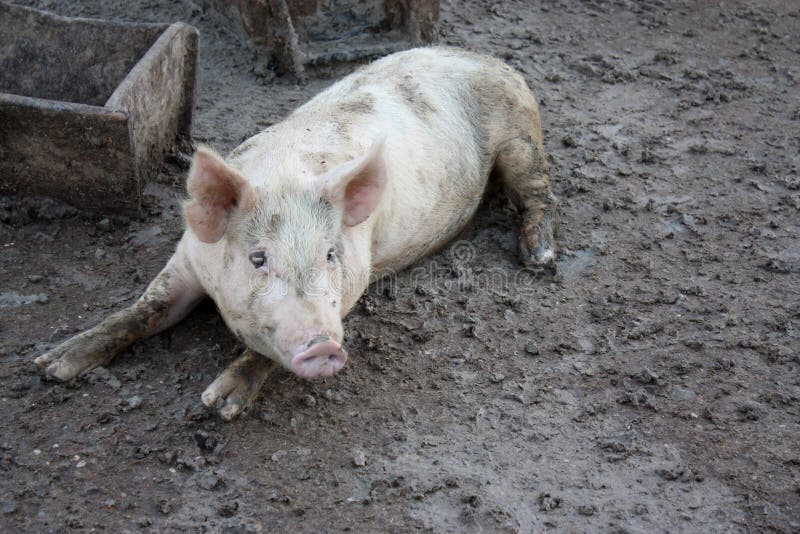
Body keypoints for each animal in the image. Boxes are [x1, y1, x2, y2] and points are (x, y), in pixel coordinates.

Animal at [34, 47, 558, 420]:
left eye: (330, 254)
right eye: (258, 258)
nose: (323, 345)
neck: (284, 178)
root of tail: (488, 58)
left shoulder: (355, 280)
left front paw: (219, 404)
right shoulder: (186, 257)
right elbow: (148, 308)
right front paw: (50, 368)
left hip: (520, 137)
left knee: (540, 193)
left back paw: (540, 256)